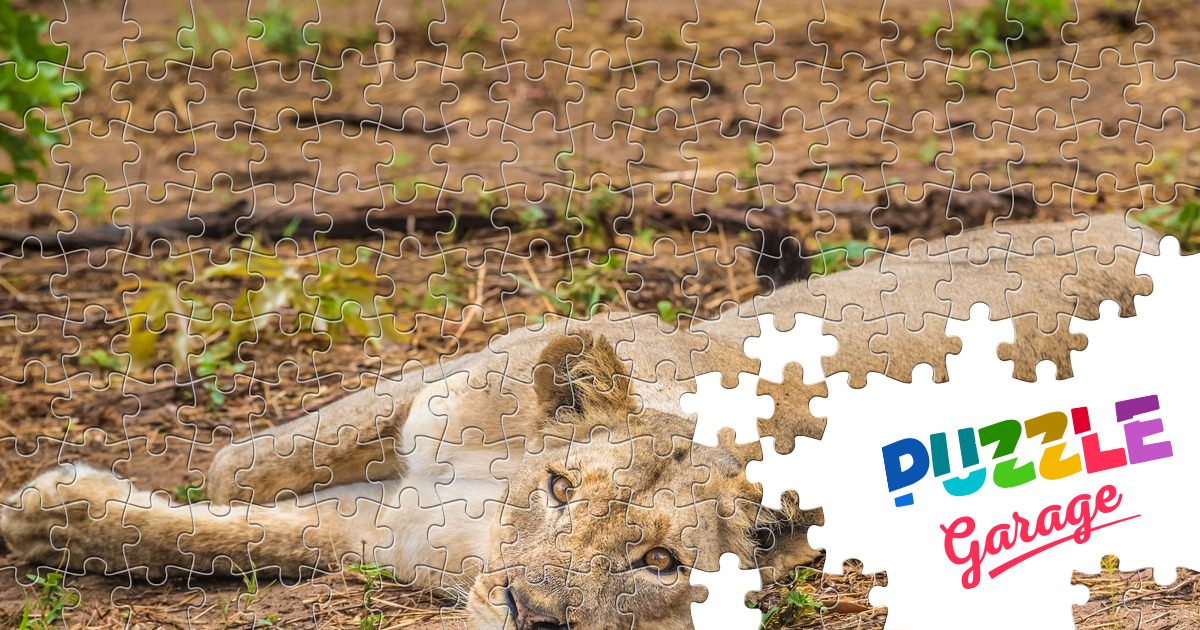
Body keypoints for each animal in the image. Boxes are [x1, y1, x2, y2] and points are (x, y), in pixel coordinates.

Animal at [0, 216, 1156, 630]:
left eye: (658, 563)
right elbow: (240, 484)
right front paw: (51, 516)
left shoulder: (385, 534)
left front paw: (63, 514)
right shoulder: (446, 398)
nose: (529, 613)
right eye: (561, 491)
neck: (480, 518)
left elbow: (232, 539)